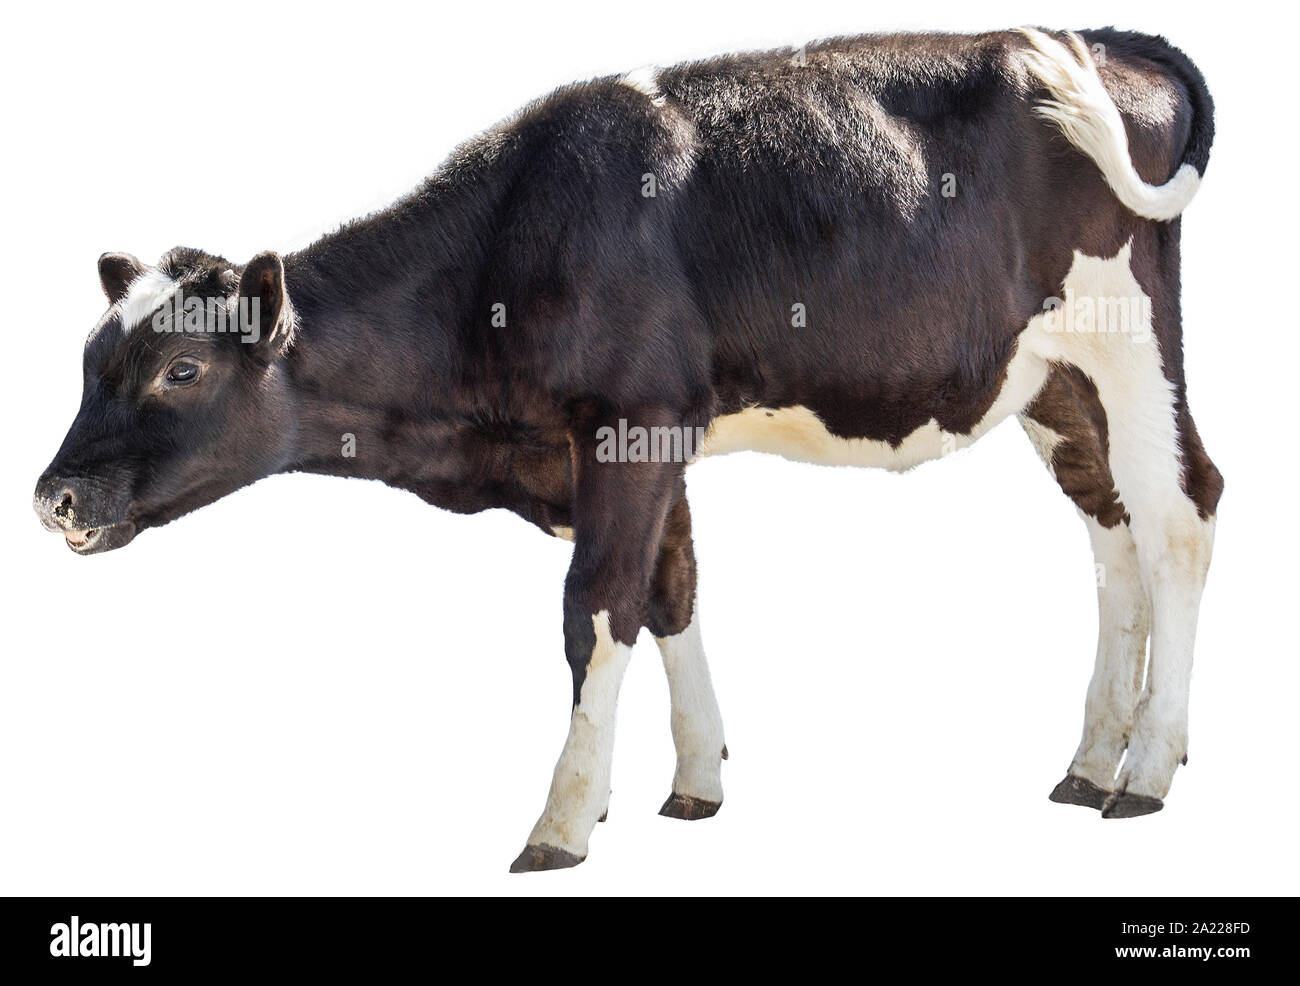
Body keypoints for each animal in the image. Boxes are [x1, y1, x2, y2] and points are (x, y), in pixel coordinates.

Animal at [33, 27, 1222, 871]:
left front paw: (561, 820)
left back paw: (1149, 768)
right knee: (1110, 527)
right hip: (1053, 376)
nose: (52, 497)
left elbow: (596, 607)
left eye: (180, 371)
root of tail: (1100, 37)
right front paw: (695, 777)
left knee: (1180, 514)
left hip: (1127, 335)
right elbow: (671, 589)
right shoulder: (636, 443)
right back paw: (1091, 758)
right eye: (92, 358)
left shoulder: (629, 424)